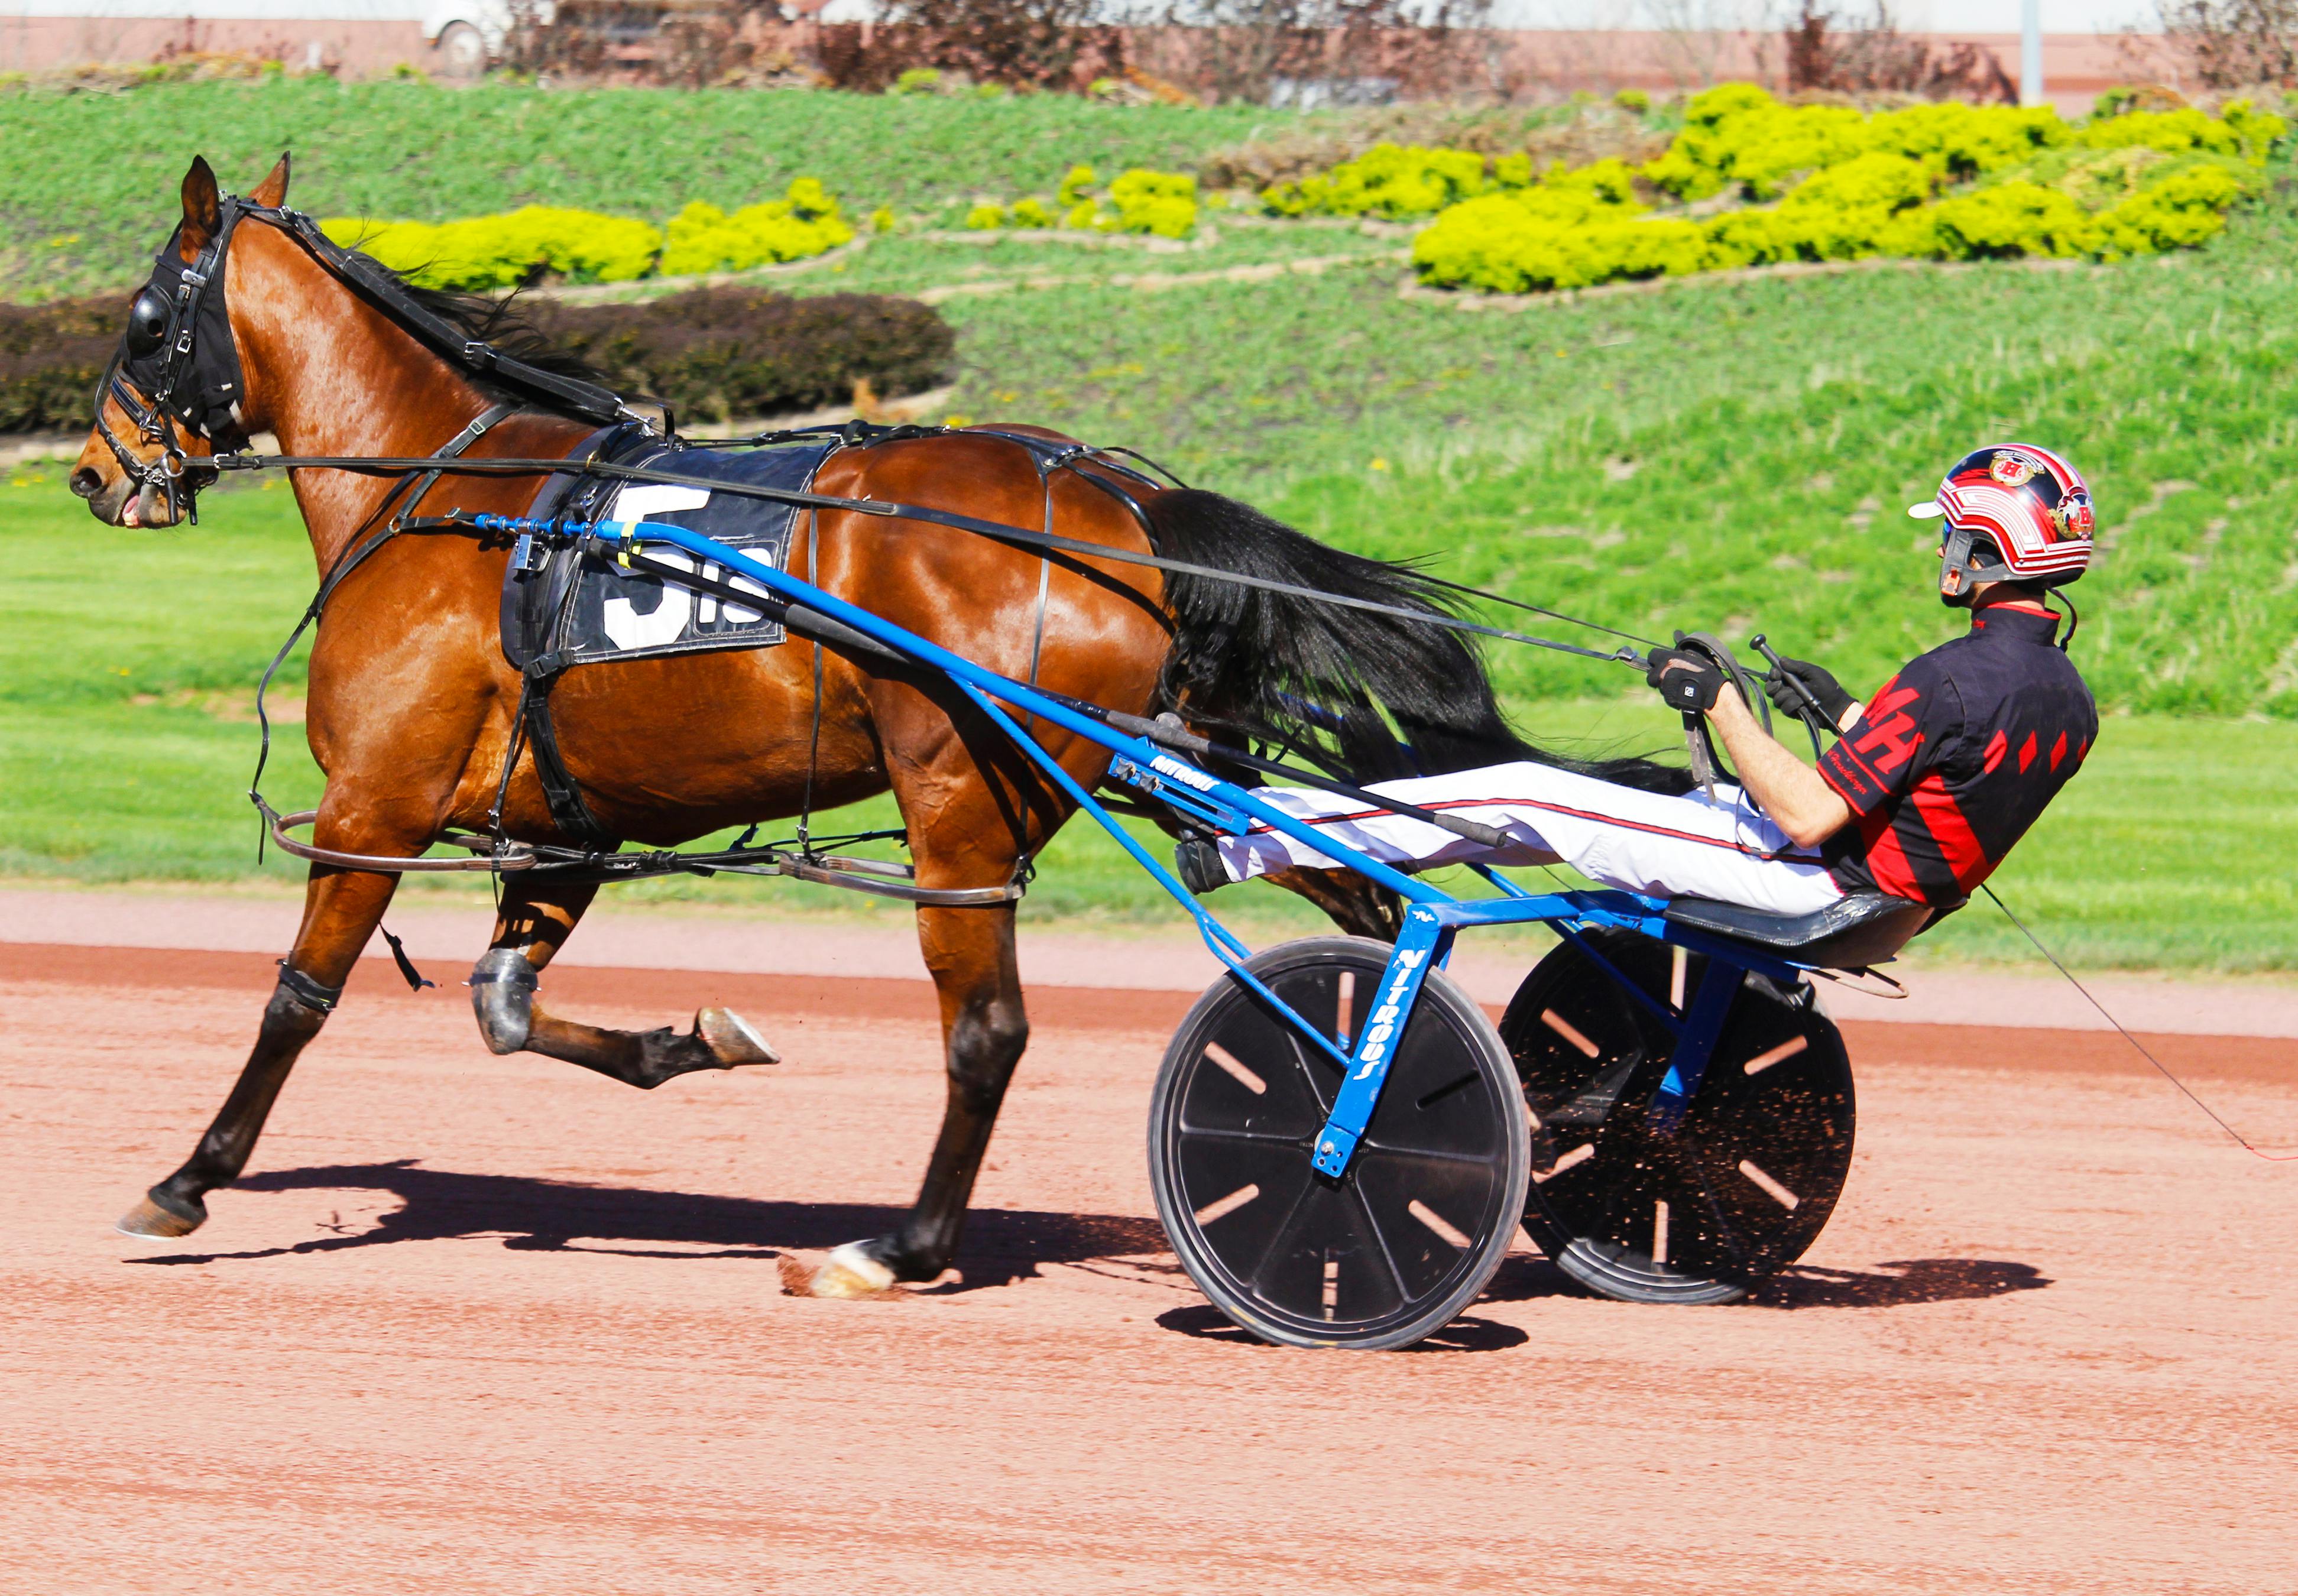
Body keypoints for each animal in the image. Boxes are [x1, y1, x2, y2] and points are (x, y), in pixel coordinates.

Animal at [71, 155, 1678, 1298]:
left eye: (146, 318)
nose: (92, 474)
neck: (446, 497)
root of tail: (1122, 510)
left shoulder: (377, 804)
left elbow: (297, 996)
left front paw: (187, 1180)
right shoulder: (565, 821)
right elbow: (506, 1006)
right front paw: (696, 1040)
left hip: (962, 795)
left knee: (990, 1029)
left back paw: (902, 1244)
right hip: (1156, 772)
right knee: (1364, 901)